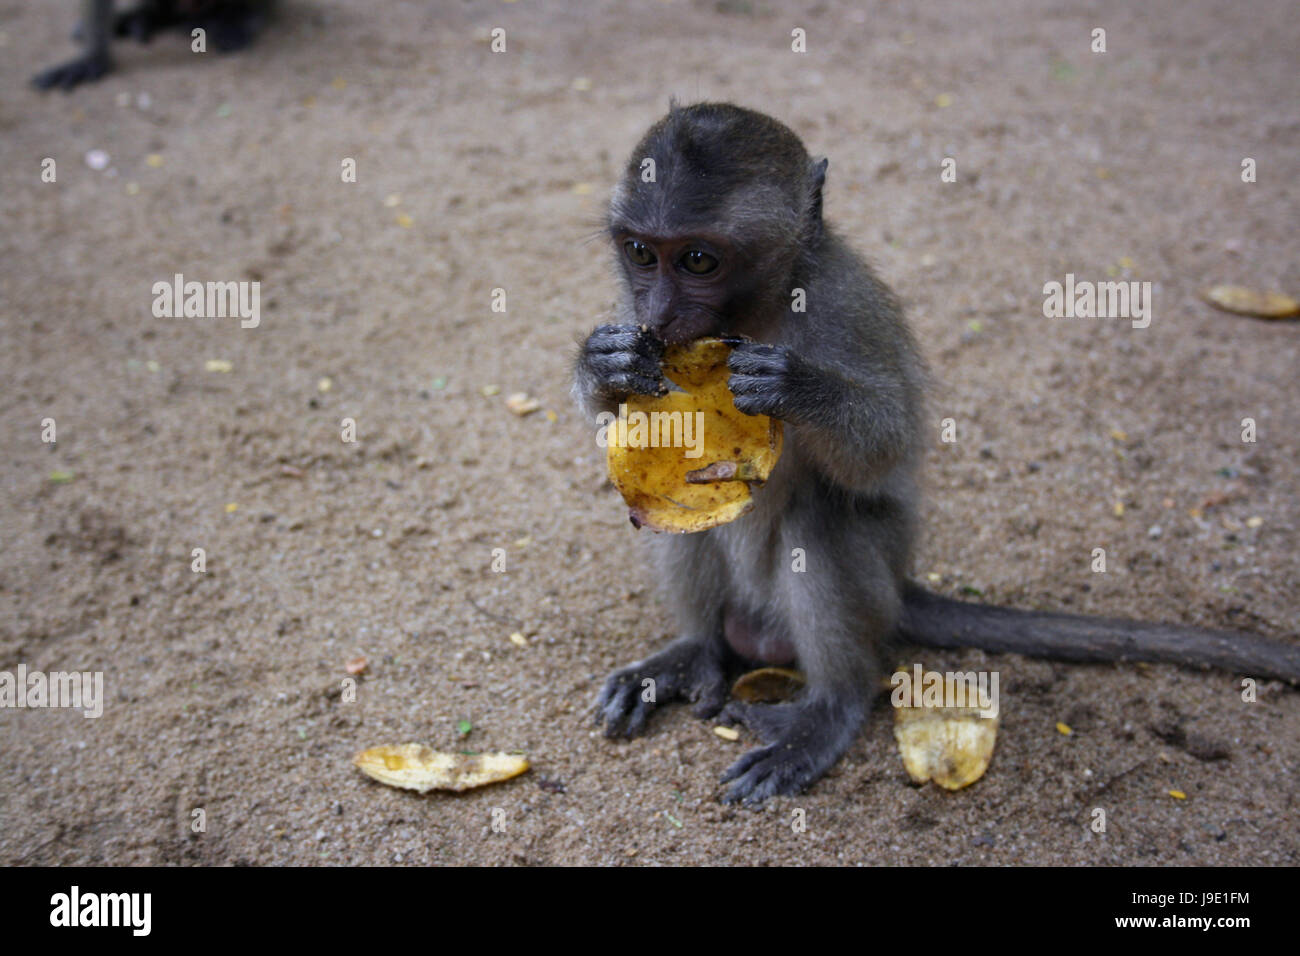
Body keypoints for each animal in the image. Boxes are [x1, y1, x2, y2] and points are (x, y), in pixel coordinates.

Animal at [572, 102, 1300, 806]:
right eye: (641, 253)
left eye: (698, 261)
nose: (660, 315)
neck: (752, 313)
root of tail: (899, 586)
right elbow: (635, 430)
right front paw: (603, 366)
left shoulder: (844, 305)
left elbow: (883, 449)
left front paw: (795, 387)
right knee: (666, 509)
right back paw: (695, 652)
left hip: (873, 573)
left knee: (824, 518)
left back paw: (827, 711)